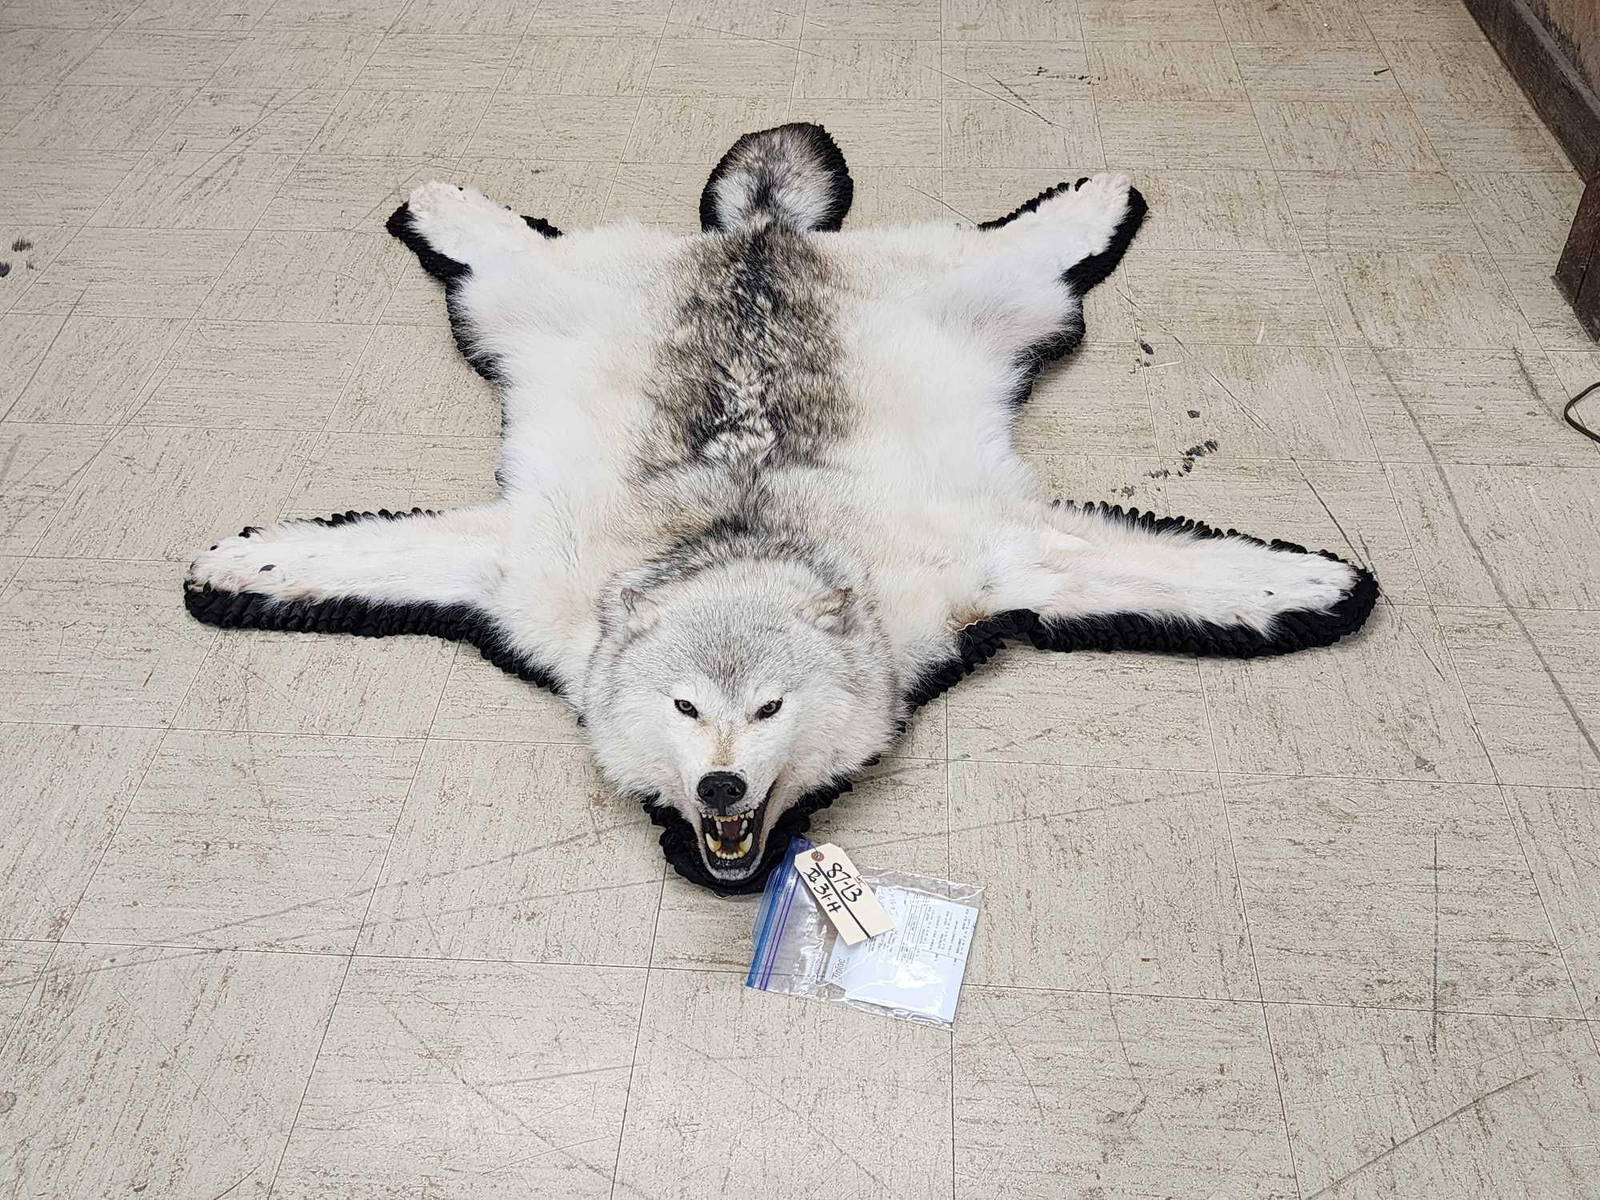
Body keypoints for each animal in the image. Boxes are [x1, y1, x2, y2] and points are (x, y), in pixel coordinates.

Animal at [185, 124, 1376, 893]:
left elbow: (1197, 576)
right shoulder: (513, 563)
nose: (718, 786)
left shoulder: (999, 558)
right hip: (527, 298)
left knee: (1038, 235)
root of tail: (762, 235)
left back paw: (1103, 193)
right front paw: (238, 568)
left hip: (1002, 291)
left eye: (767, 710)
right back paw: (442, 203)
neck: (743, 539)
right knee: (503, 244)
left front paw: (1320, 584)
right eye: (683, 709)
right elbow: (347, 561)